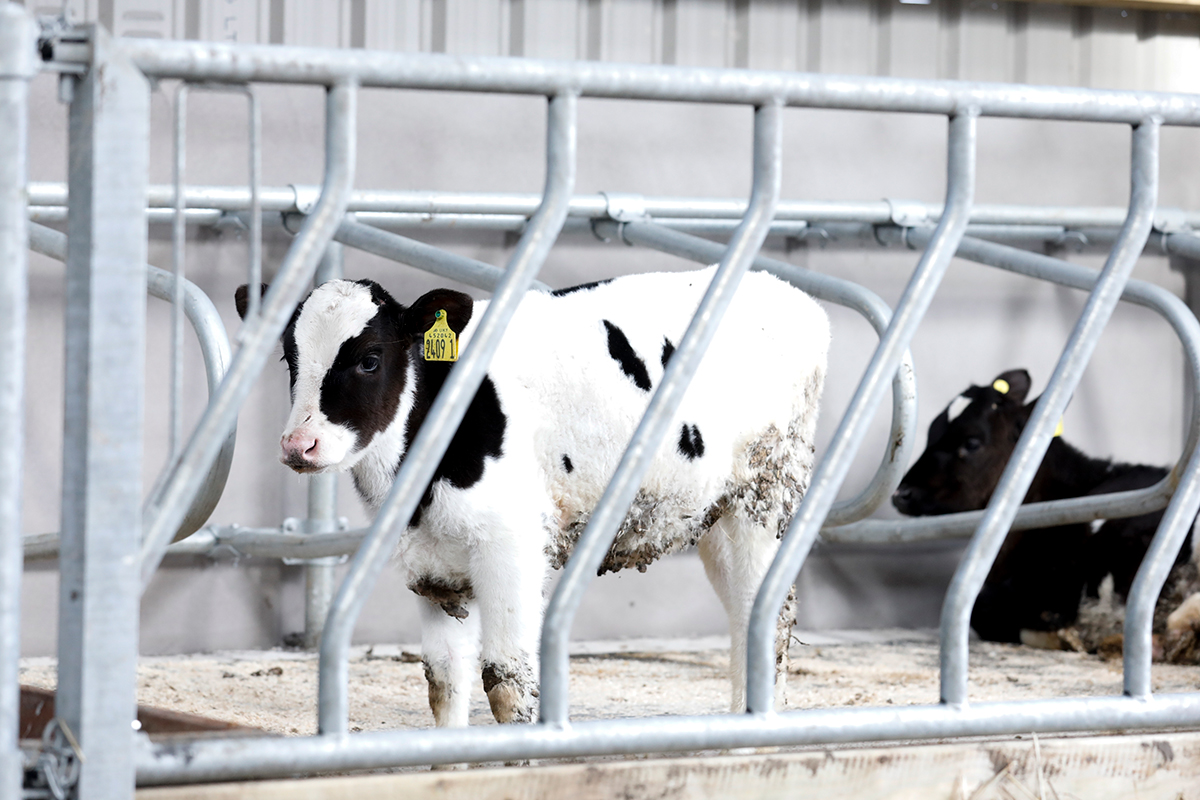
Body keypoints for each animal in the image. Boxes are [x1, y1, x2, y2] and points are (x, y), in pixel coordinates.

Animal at [237, 266, 830, 726]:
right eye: (290, 360)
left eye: (369, 359)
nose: (298, 445)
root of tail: (789, 293)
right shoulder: (432, 566)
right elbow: (443, 682)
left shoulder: (512, 545)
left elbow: (506, 680)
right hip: (716, 514)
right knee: (744, 614)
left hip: (765, 495)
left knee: (765, 614)